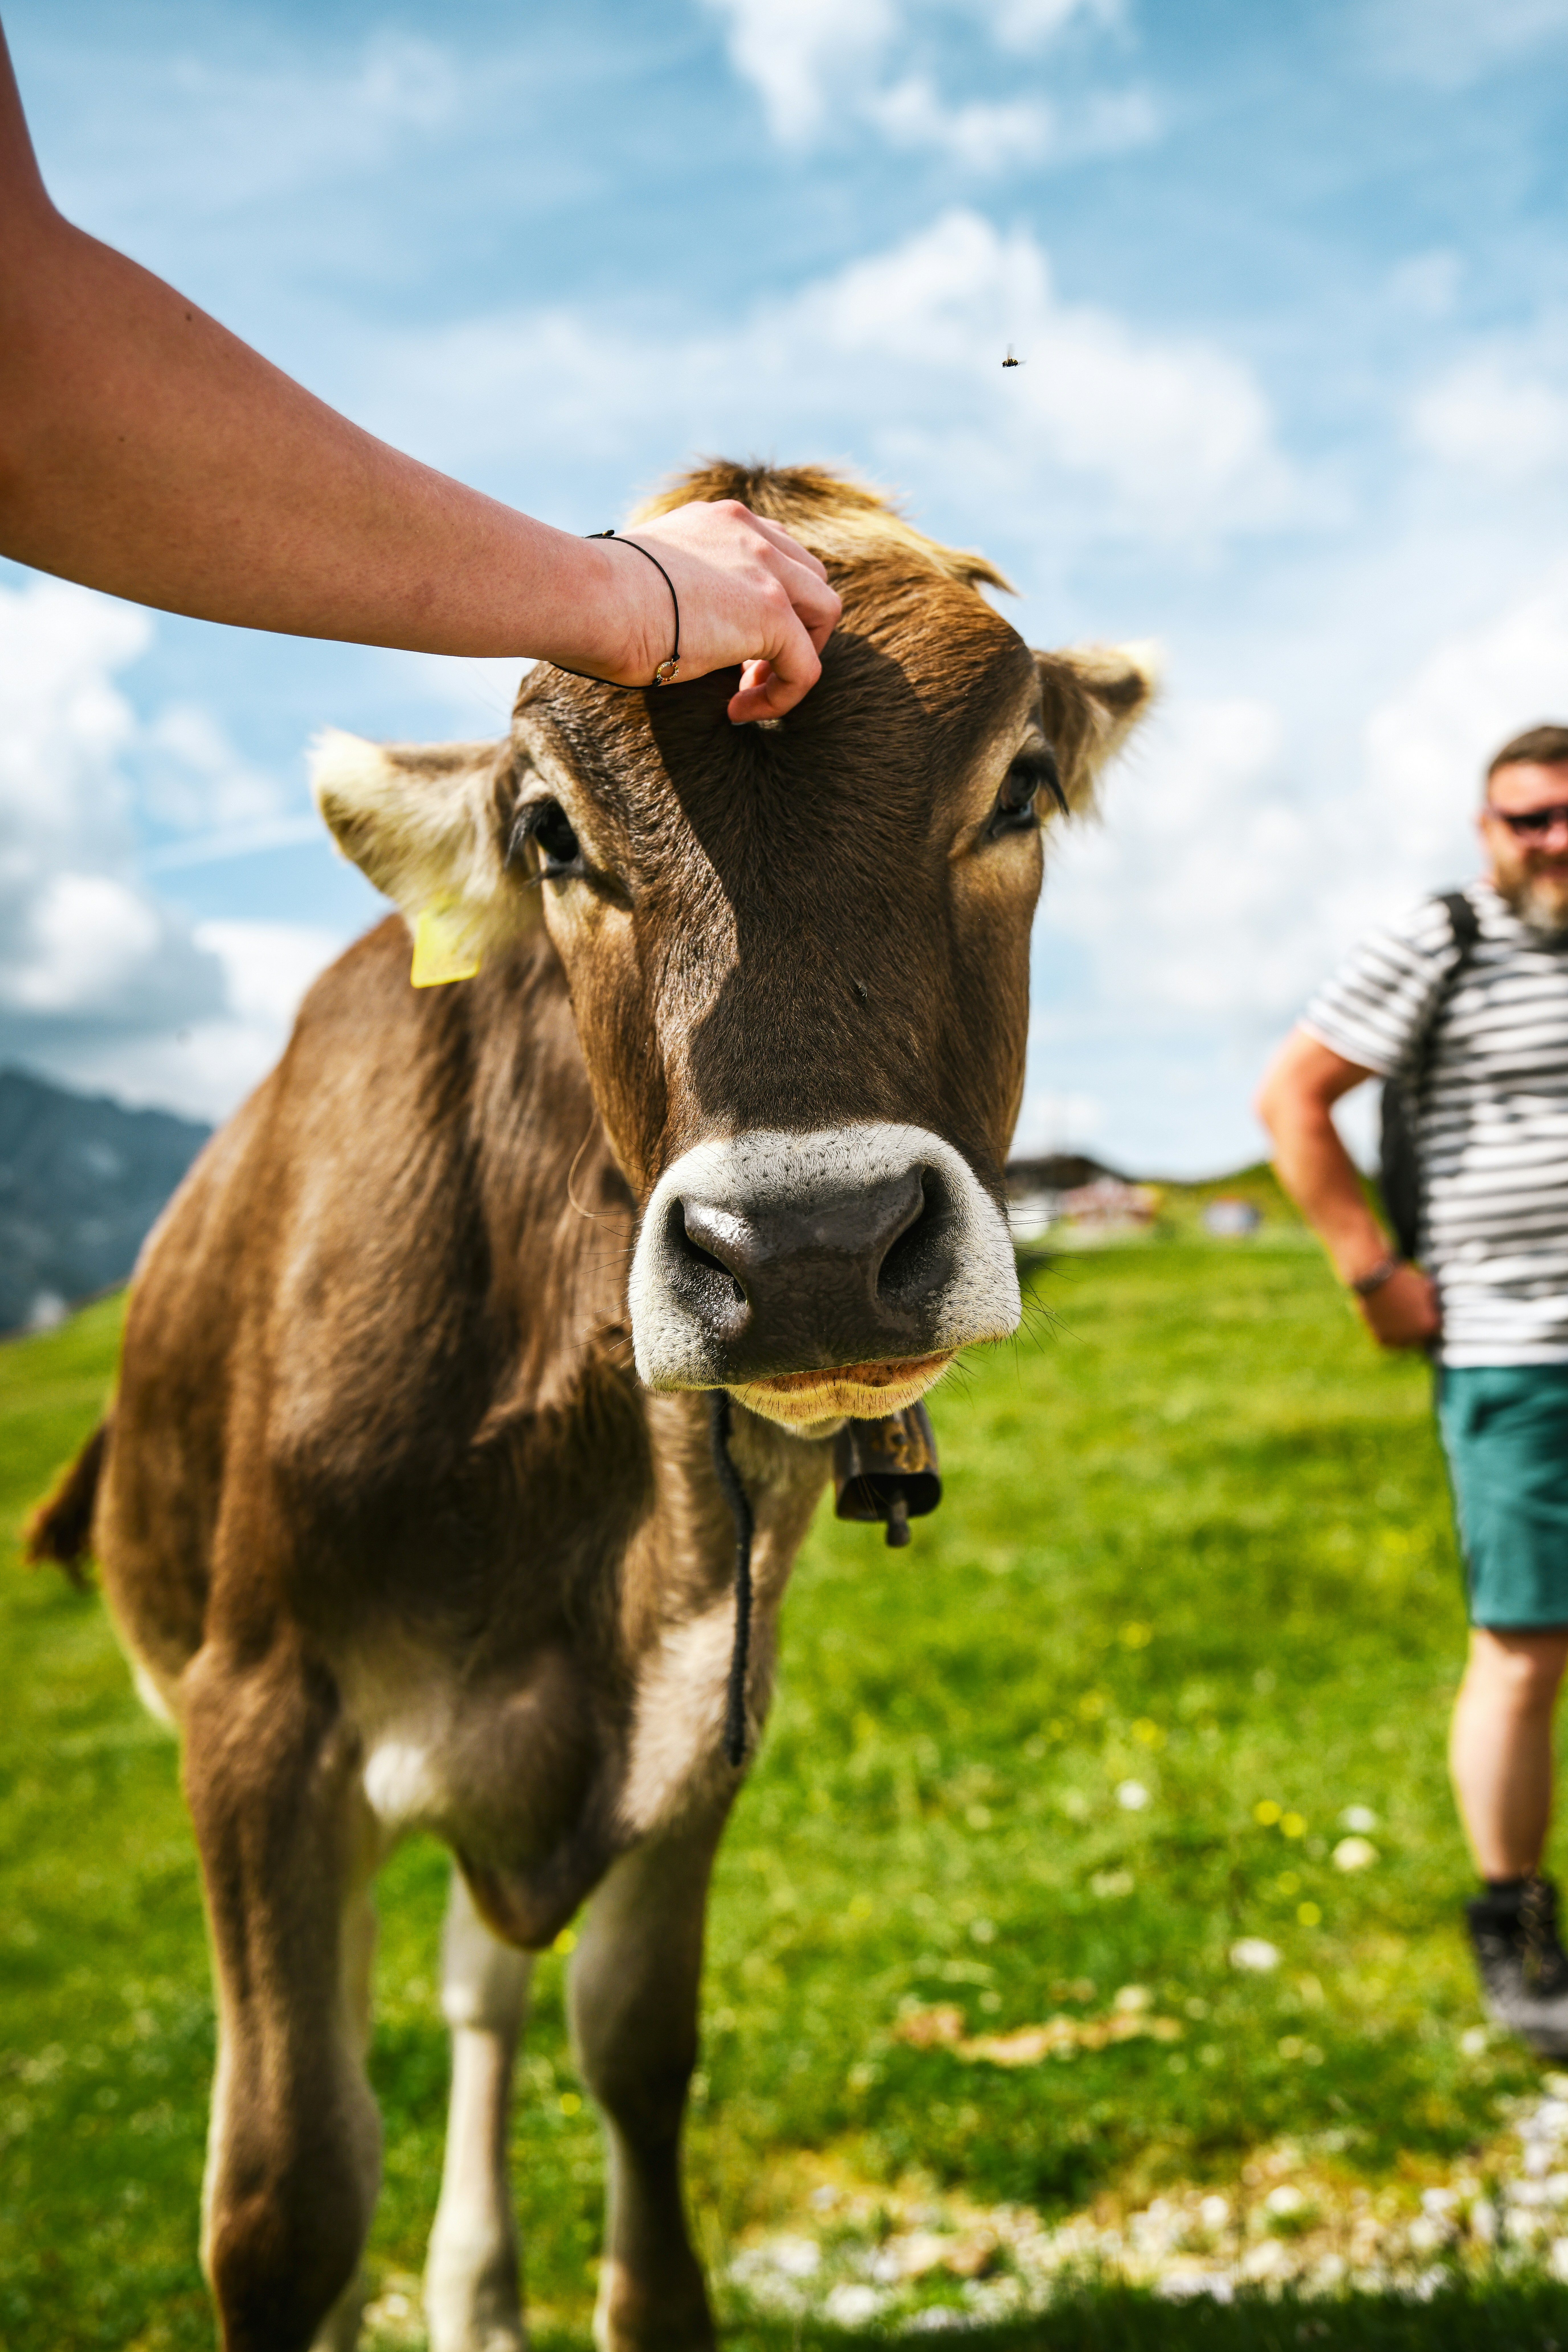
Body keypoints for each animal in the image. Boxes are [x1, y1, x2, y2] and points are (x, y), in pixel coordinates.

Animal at [28, 462, 1153, 2352]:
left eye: (1022, 785)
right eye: (553, 834)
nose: (810, 1246)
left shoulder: (701, 1694)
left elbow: (631, 2047)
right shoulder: (257, 1715)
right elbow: (282, 2192)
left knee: (483, 1989)